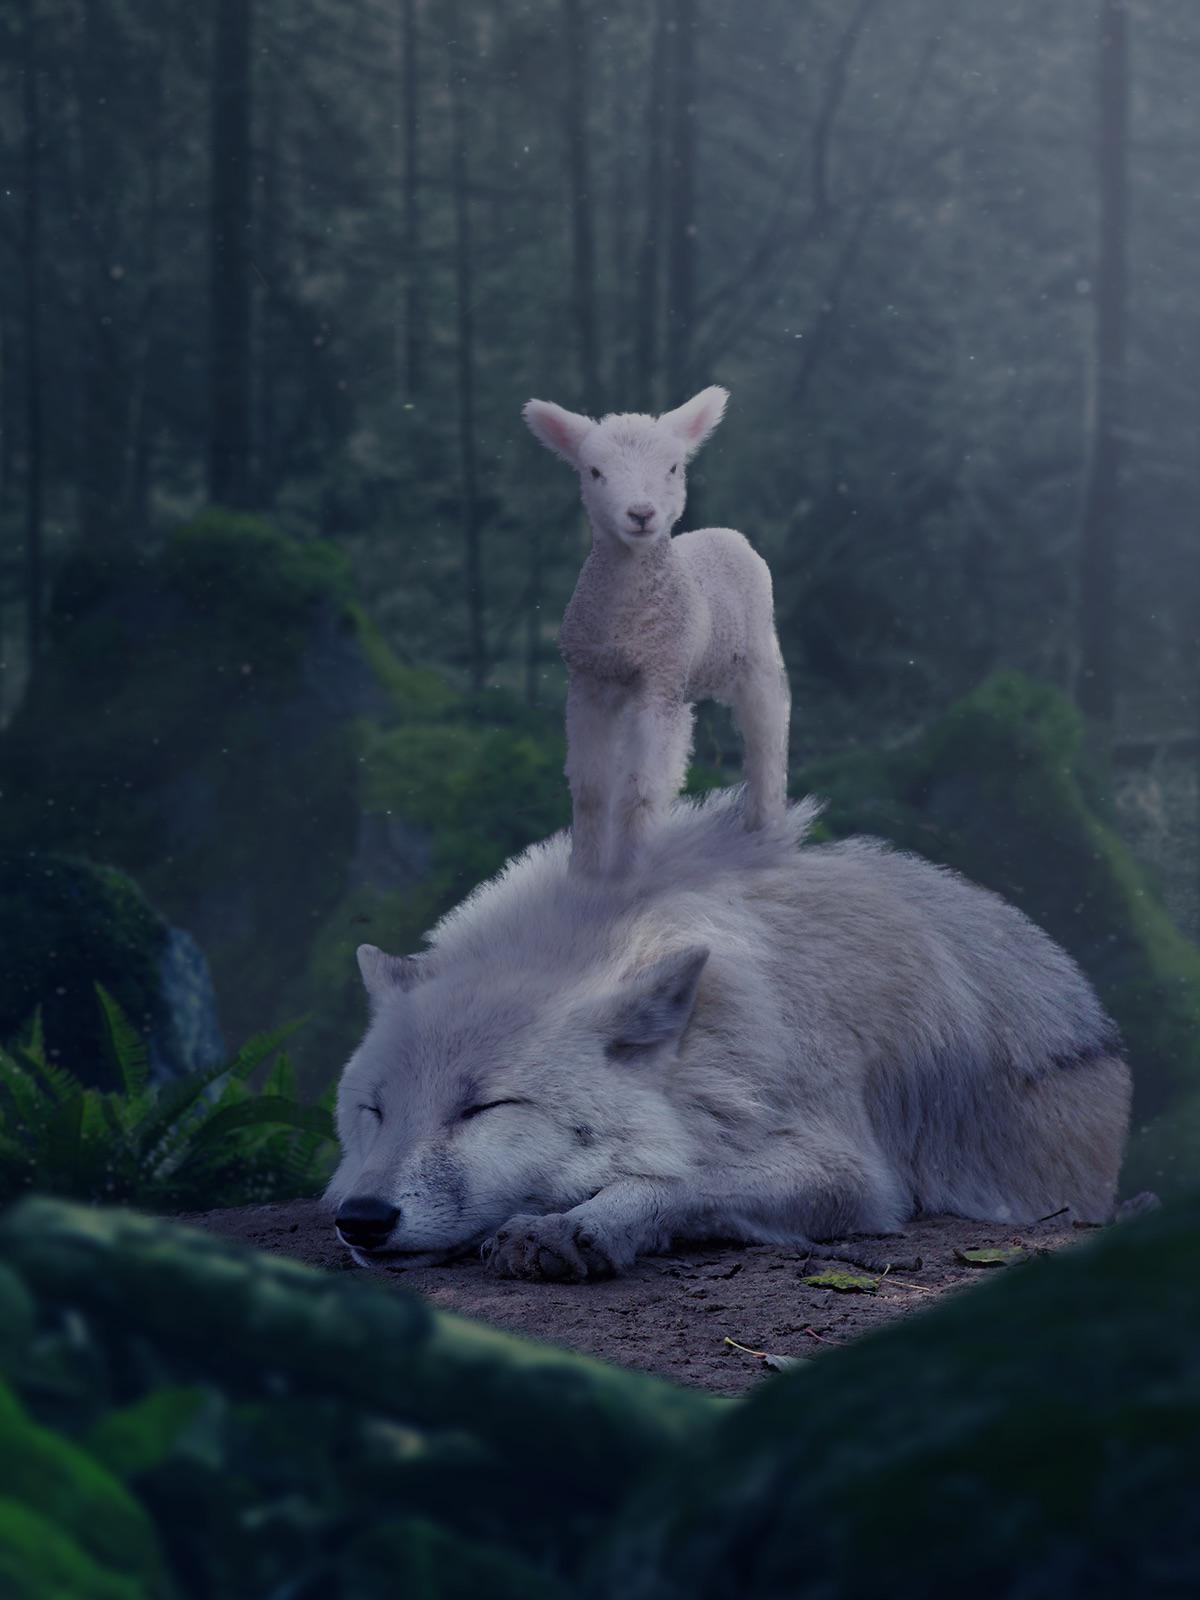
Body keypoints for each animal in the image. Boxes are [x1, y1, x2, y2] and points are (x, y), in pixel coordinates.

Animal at [523, 386, 791, 877]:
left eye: (673, 468)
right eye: (594, 471)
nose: (641, 513)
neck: (627, 623)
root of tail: (723, 533)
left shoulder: (659, 681)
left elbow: (642, 789)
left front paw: (629, 876)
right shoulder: (588, 681)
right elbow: (590, 789)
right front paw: (583, 875)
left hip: (757, 657)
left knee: (767, 742)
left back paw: (766, 834)